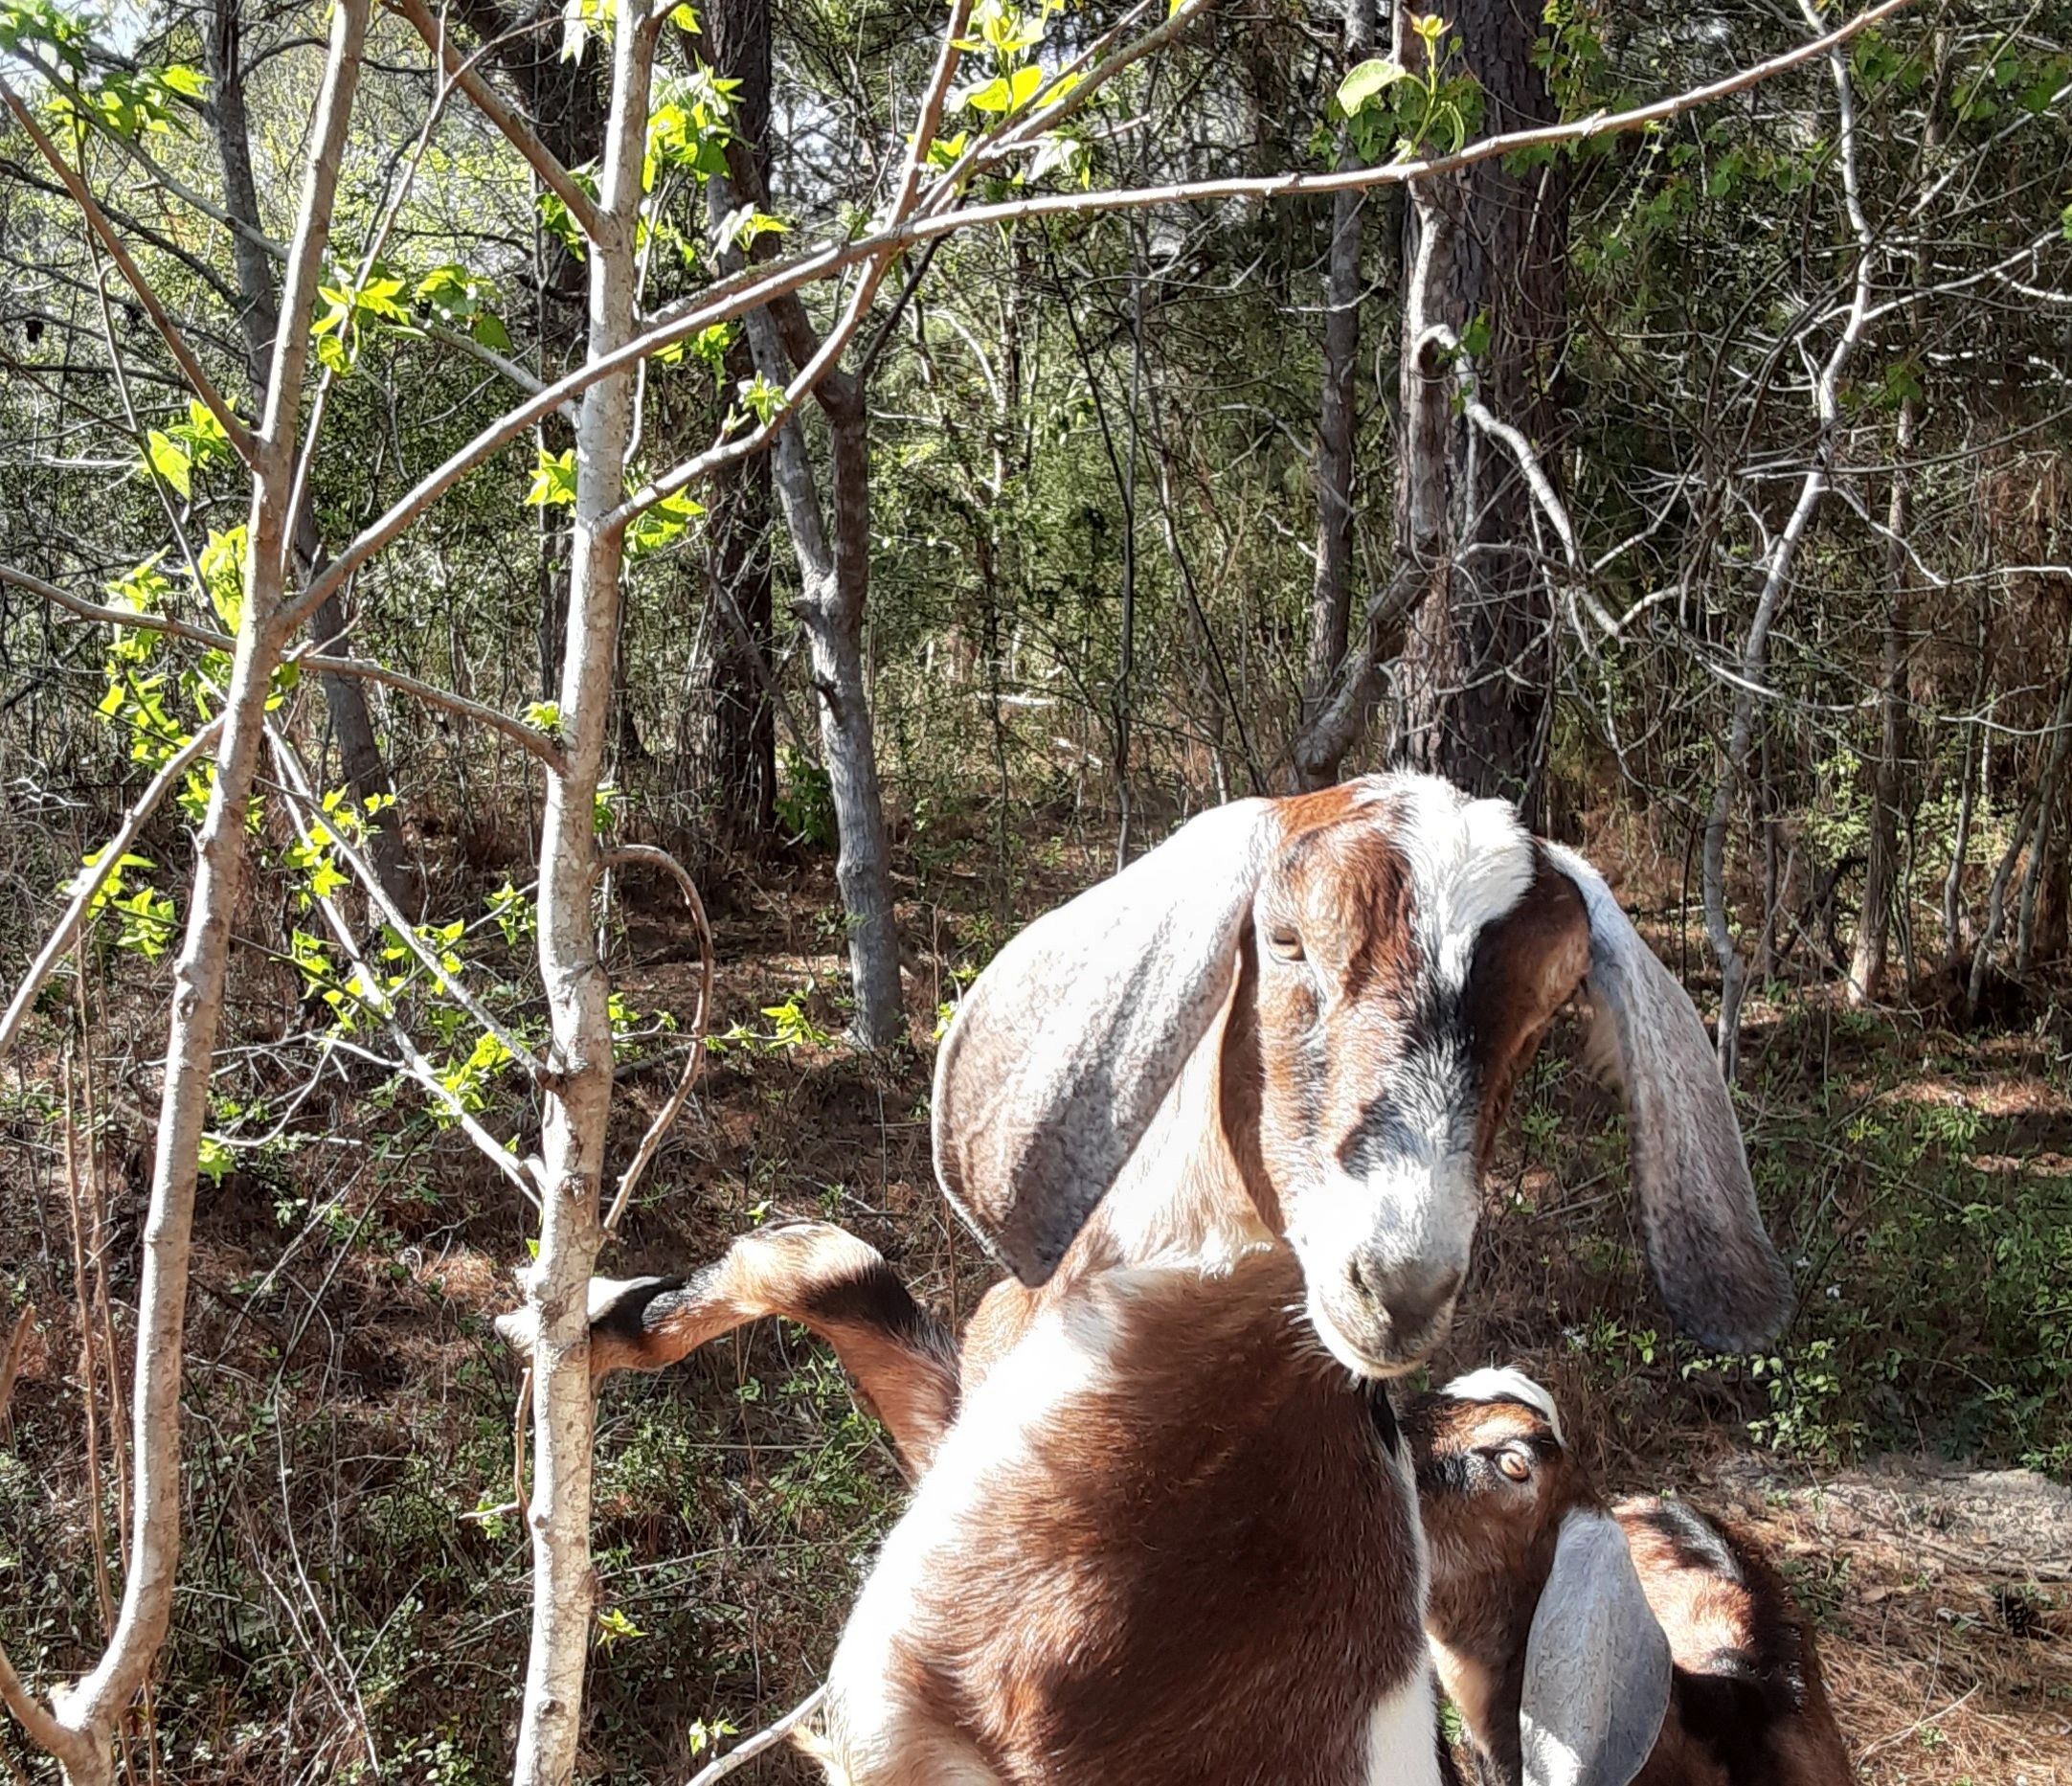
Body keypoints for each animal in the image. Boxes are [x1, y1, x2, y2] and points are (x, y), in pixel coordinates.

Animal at [505, 773, 1792, 1785]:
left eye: (1546, 1010)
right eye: (1290, 940)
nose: (1398, 1282)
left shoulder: (907, 1715)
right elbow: (830, 1256)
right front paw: (588, 1313)